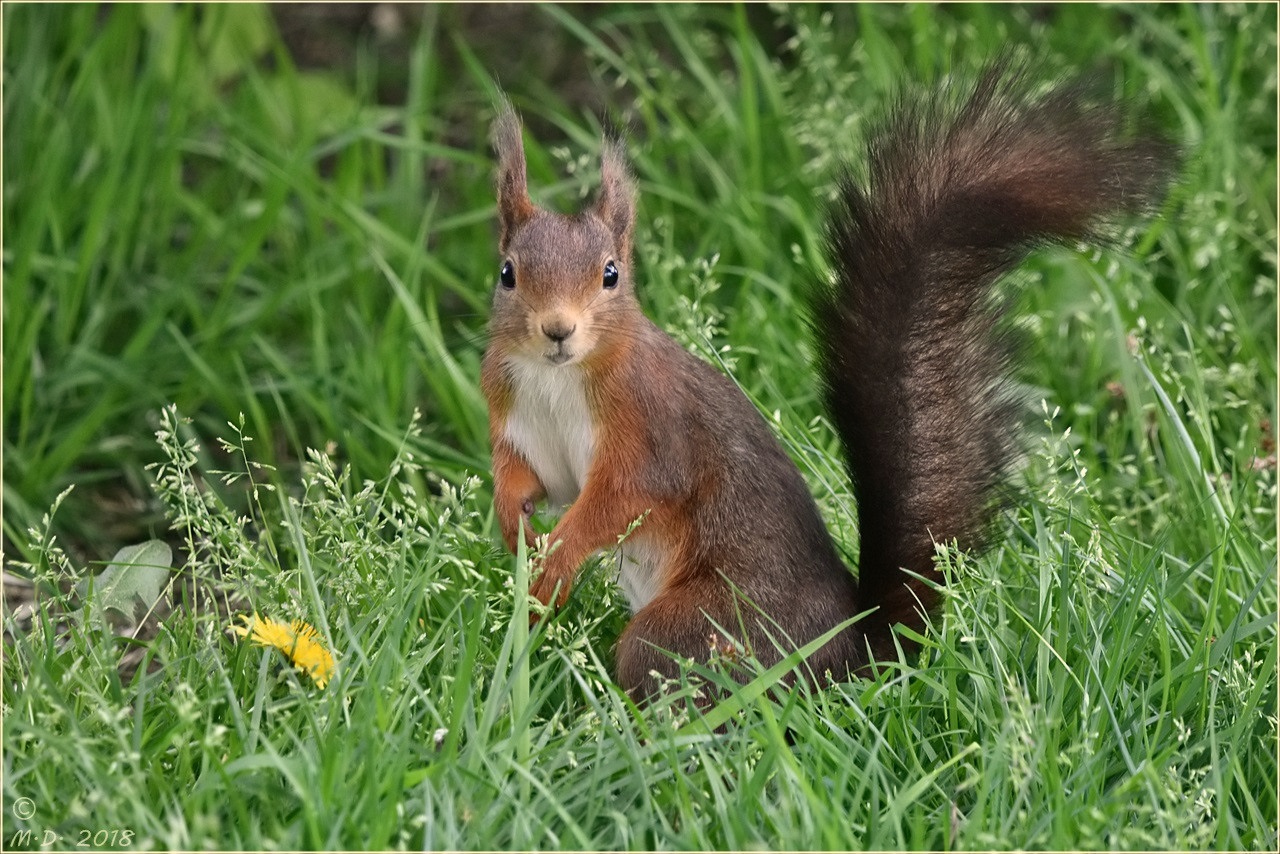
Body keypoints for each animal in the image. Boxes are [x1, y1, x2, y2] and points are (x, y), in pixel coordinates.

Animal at [481, 62, 1174, 703]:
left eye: (611, 274)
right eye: (507, 273)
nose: (557, 330)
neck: (557, 380)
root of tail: (853, 652)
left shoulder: (652, 428)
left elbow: (623, 497)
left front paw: (557, 554)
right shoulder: (518, 420)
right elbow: (533, 479)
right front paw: (516, 530)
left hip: (699, 628)